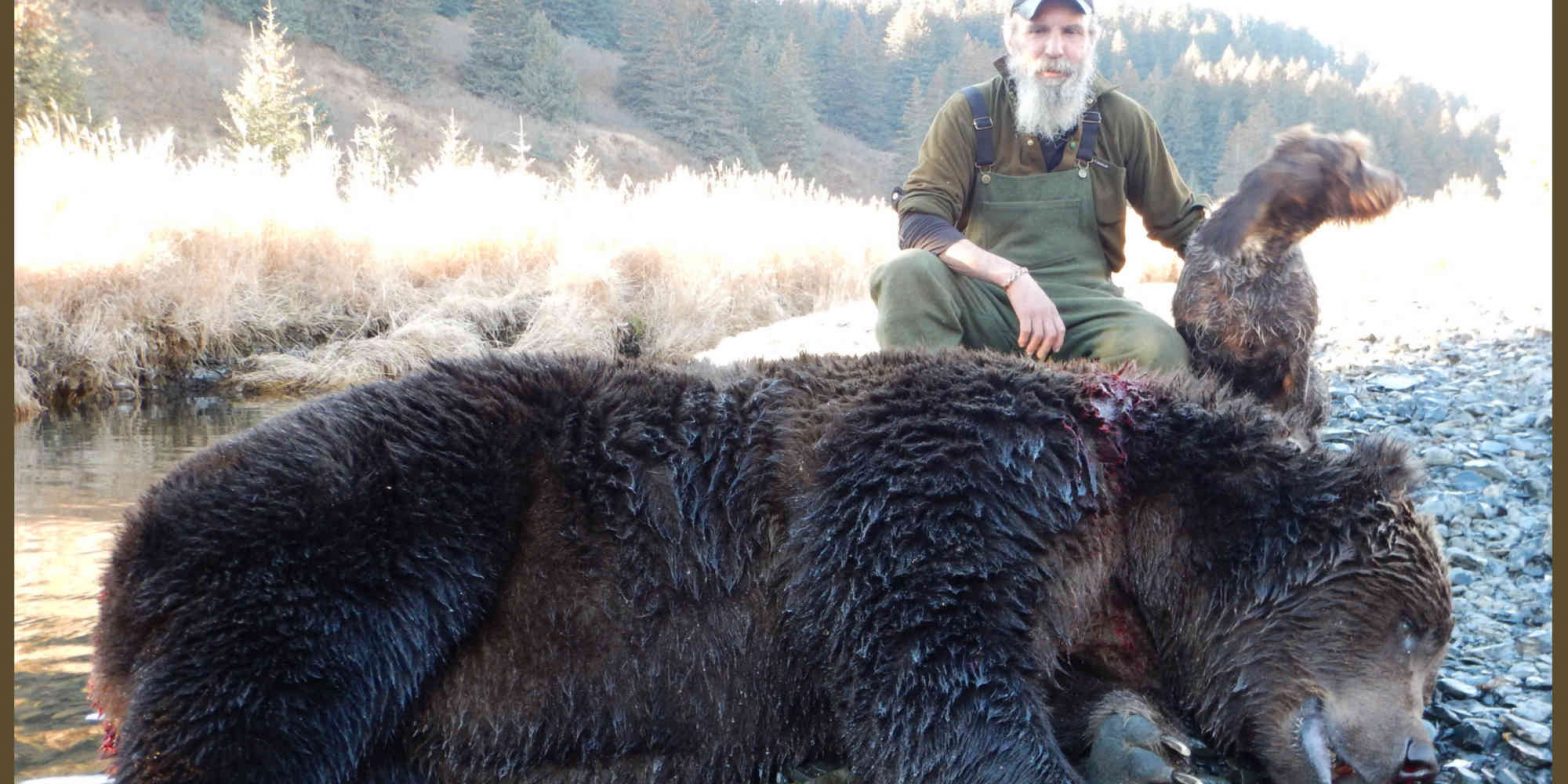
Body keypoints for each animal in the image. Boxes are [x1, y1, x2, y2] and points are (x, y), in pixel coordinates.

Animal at [89, 350, 1452, 784]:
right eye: (1415, 629)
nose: (1416, 752)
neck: (1127, 512)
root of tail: (120, 553)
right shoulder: (955, 478)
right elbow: (923, 664)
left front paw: (1137, 736)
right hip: (392, 510)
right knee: (280, 674)